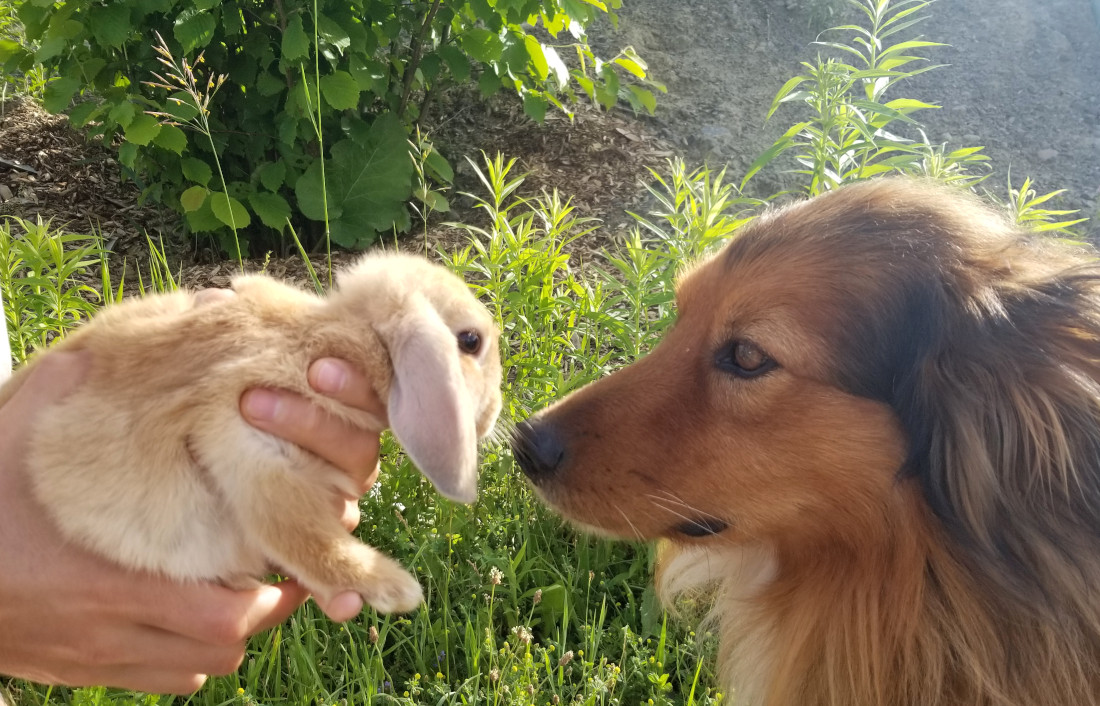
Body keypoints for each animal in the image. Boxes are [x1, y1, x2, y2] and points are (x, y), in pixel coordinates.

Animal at [0, 252, 502, 614]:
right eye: (471, 341)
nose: (496, 413)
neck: (345, 332)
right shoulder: (254, 455)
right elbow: (308, 539)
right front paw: (397, 590)